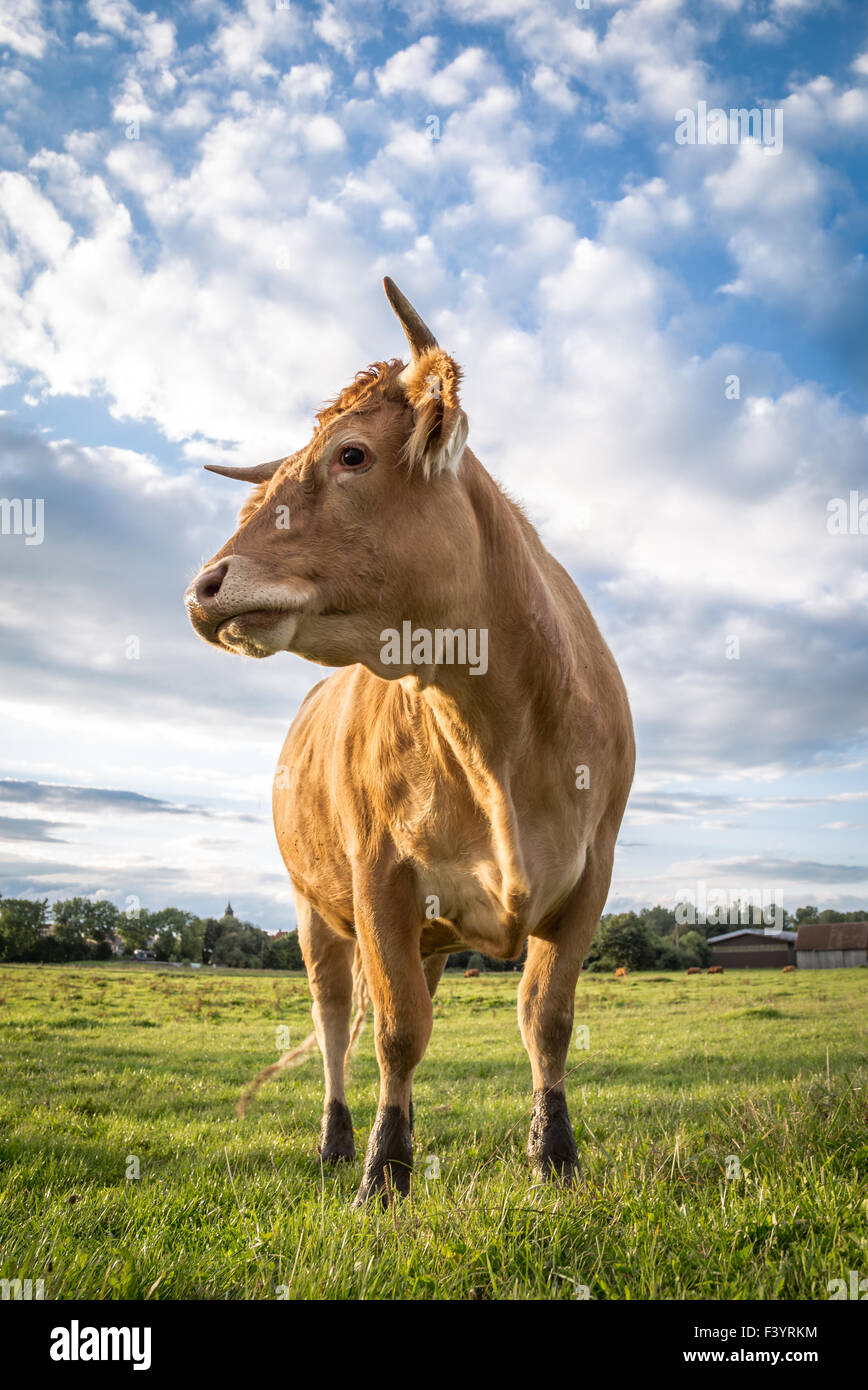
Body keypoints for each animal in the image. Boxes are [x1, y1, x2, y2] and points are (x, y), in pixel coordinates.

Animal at [185, 278, 635, 1206]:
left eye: (351, 456)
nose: (204, 587)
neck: (498, 732)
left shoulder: (591, 876)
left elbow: (547, 1019)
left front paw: (555, 1156)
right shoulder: (379, 876)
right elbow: (394, 1032)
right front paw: (381, 1174)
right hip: (315, 912)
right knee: (334, 1024)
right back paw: (336, 1142)